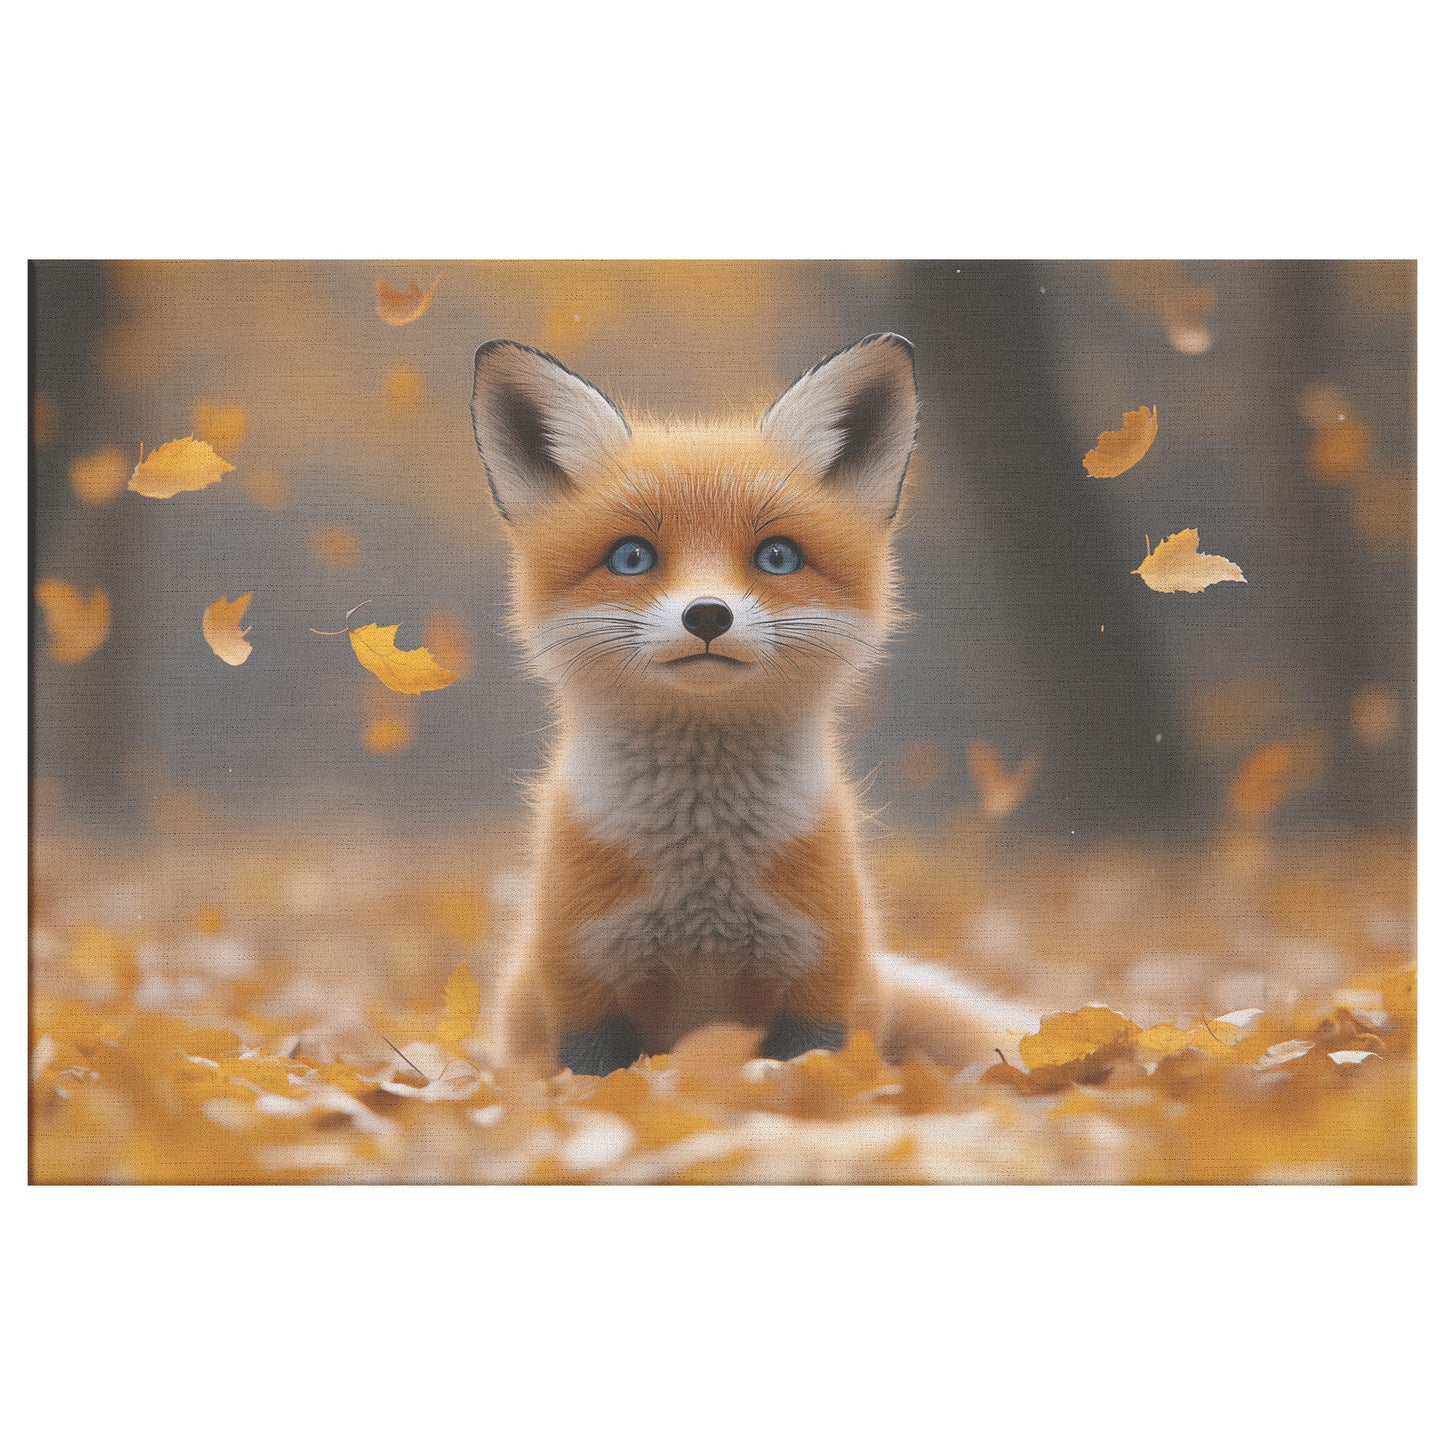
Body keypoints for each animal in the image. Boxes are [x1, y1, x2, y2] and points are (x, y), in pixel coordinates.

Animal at [470, 333, 1038, 1077]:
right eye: (631, 557)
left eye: (776, 557)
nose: (707, 615)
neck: (703, 873)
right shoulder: (583, 992)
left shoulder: (820, 987)